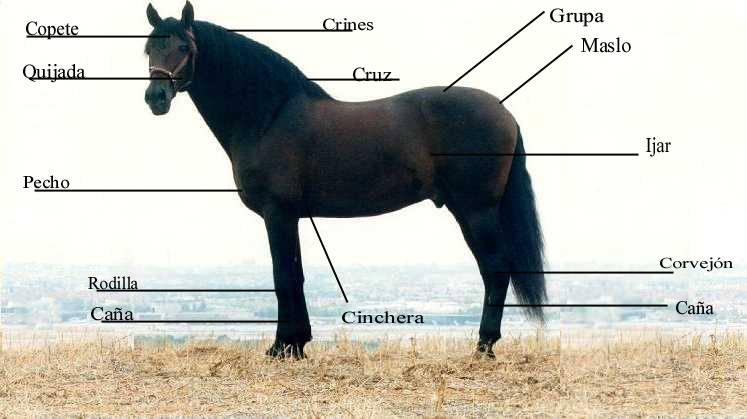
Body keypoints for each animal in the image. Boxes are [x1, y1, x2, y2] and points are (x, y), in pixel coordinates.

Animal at [144, 2, 546, 358]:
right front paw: (298, 344)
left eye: (184, 47)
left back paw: (484, 346)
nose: (155, 98)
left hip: (477, 210)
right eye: (148, 47)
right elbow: (296, 274)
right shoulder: (292, 216)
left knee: (496, 267)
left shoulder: (278, 213)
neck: (269, 116)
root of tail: (504, 112)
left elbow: (283, 276)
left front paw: (280, 348)